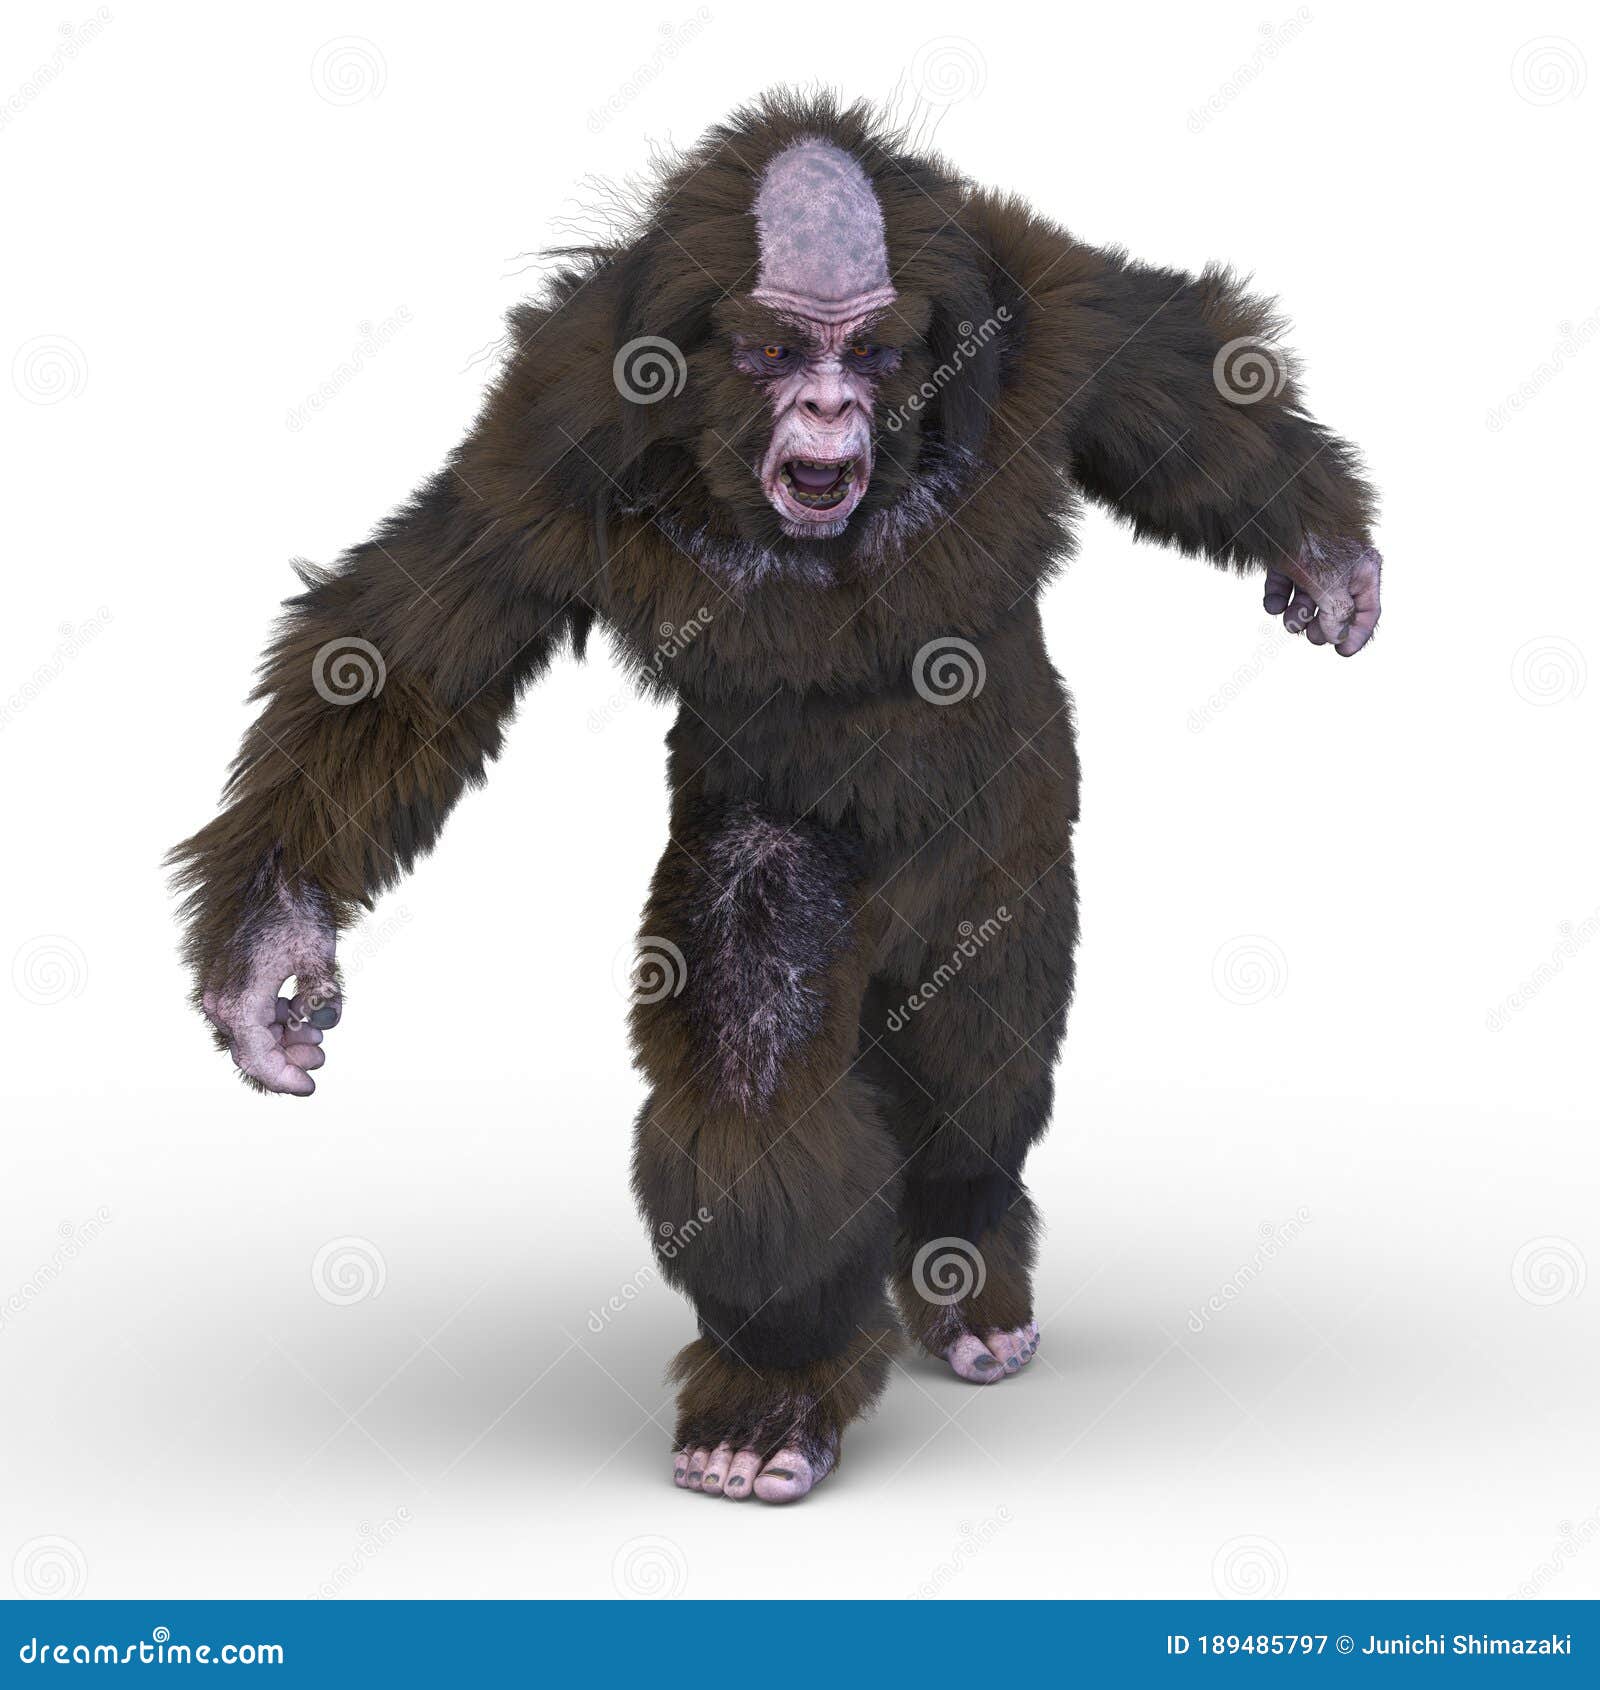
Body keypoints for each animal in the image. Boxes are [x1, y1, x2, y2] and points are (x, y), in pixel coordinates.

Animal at [171, 91, 1381, 1505]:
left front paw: (1323, 544)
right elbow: (416, 646)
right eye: (771, 348)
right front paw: (270, 953)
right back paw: (772, 1388)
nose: (823, 397)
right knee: (767, 1005)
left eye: (871, 350)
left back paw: (967, 1271)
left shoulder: (1045, 319)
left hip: (1014, 880)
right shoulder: (551, 441)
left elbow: (1170, 373)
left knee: (978, 1081)